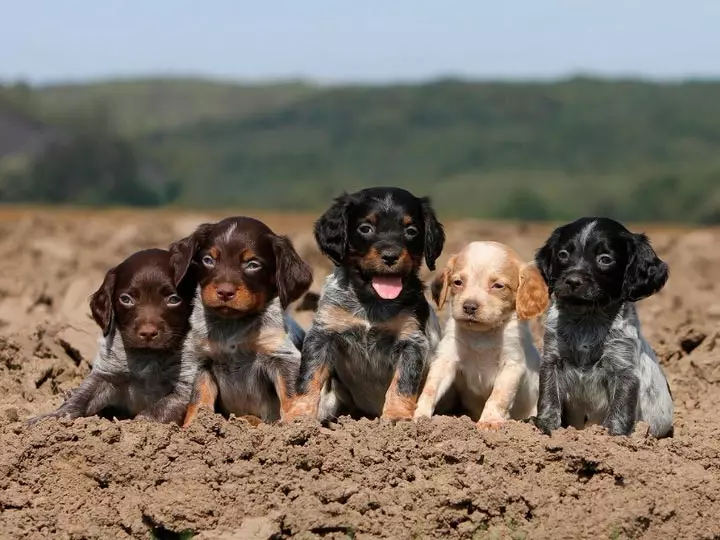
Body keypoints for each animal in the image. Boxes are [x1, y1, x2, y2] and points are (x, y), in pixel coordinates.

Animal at [27, 249, 197, 426]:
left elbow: (154, 412)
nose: (148, 333)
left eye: (174, 299)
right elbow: (81, 398)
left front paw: (135, 425)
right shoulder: (106, 375)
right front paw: (53, 418)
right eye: (126, 299)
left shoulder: (184, 391)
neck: (147, 355)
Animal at [173, 215, 314, 426]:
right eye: (208, 260)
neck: (232, 325)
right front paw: (194, 425)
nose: (224, 292)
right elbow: (199, 397)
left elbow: (291, 396)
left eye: (253, 264)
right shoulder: (202, 359)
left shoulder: (281, 356)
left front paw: (294, 425)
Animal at [286, 187, 444, 422]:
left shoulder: (412, 341)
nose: (390, 256)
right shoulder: (323, 332)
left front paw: (396, 417)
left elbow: (403, 383)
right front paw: (299, 416)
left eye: (411, 231)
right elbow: (308, 376)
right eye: (365, 228)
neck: (373, 303)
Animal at [414, 243, 548, 428]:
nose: (469, 306)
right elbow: (430, 388)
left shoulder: (512, 364)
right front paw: (419, 416)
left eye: (498, 286)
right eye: (458, 282)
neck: (482, 334)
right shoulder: (446, 358)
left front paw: (490, 421)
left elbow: (498, 396)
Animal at [528, 217, 676, 436]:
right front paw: (545, 427)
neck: (587, 320)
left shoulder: (624, 369)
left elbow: (619, 411)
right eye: (563, 254)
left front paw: (613, 437)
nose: (572, 281)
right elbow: (549, 398)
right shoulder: (551, 360)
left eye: (605, 259)